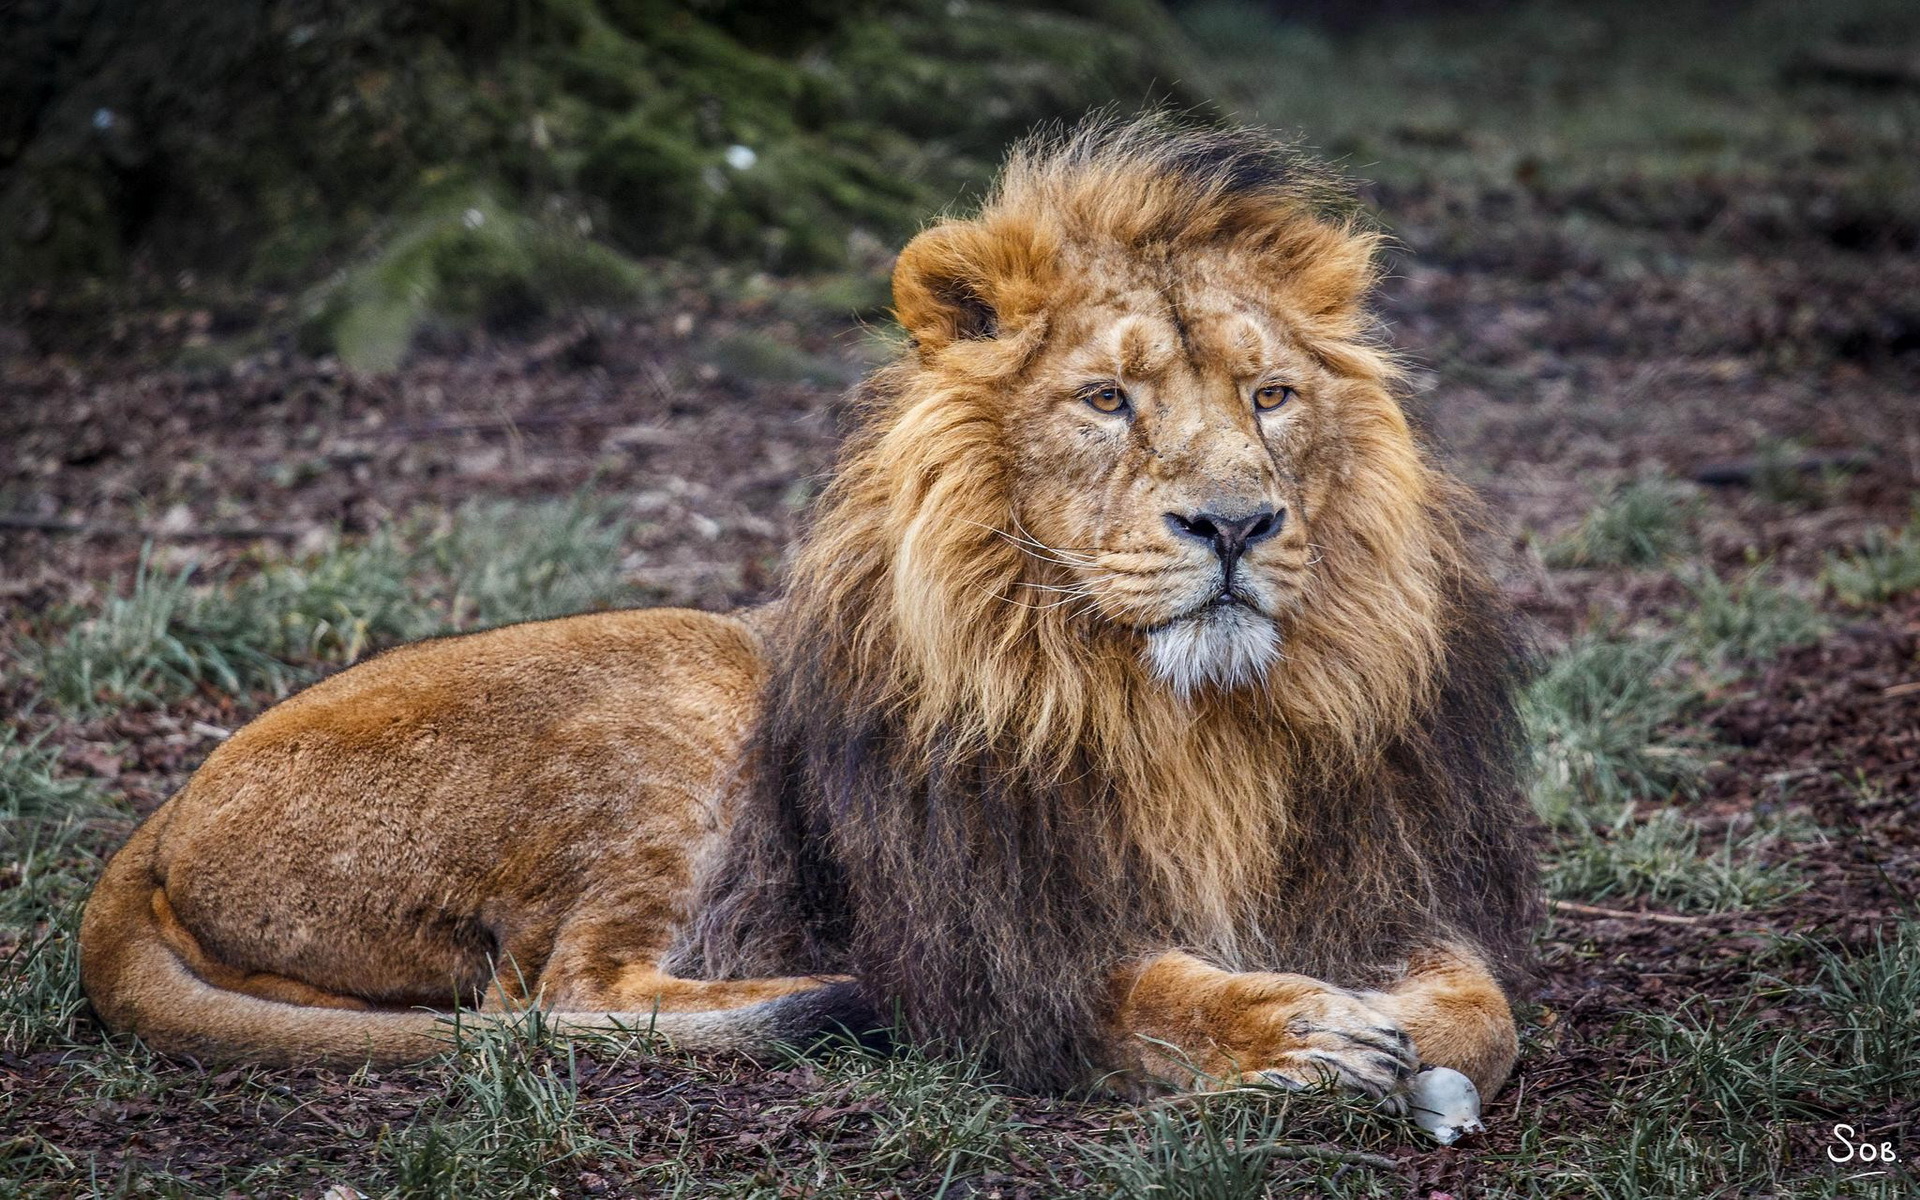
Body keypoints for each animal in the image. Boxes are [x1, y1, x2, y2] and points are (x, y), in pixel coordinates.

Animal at [80, 117, 1539, 1103]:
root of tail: (158, 822)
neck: (1185, 718)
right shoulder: (985, 941)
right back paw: (818, 994)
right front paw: (1298, 1033)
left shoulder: (1381, 892)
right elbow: (1155, 985)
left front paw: (1402, 1047)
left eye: (1269, 396)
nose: (1235, 525)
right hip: (683, 671)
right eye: (1106, 400)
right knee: (554, 990)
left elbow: (1484, 1014)